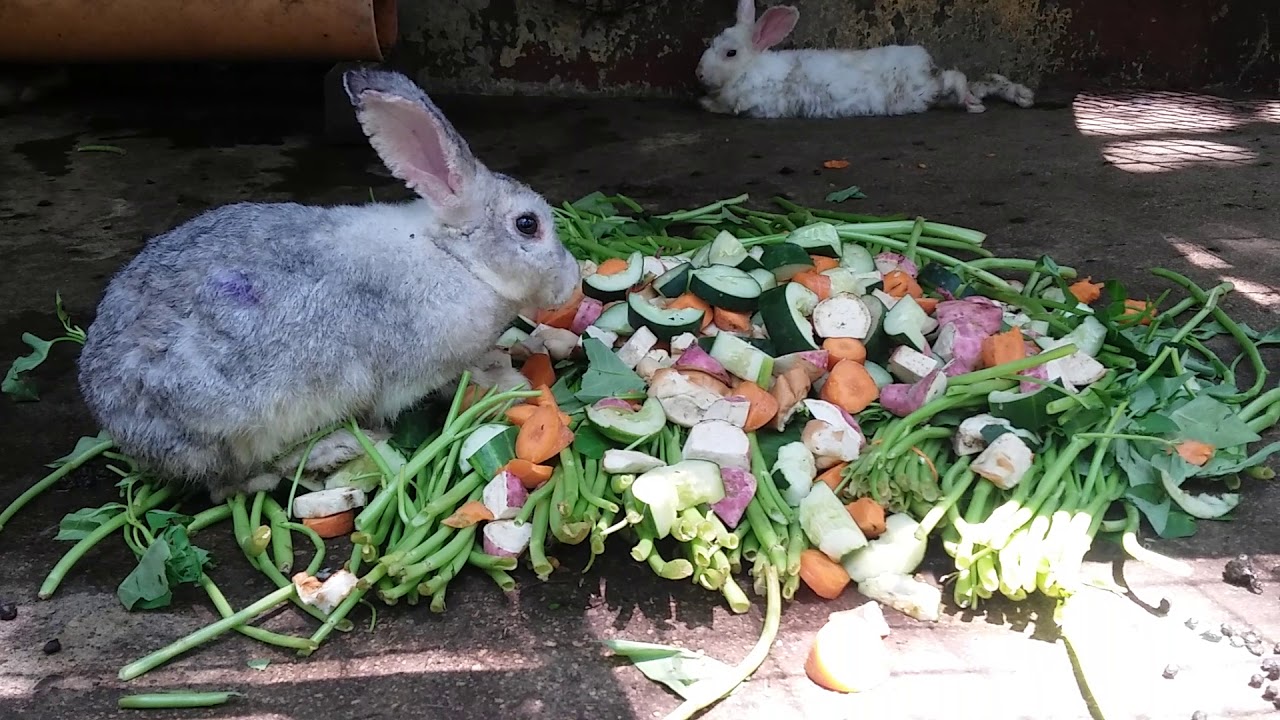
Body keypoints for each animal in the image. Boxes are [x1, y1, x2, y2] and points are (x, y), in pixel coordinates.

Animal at [76, 67, 582, 503]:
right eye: (527, 225)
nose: (573, 283)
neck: (455, 257)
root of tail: (114, 416)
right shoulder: (415, 371)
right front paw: (505, 382)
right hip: (237, 426)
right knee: (235, 481)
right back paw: (333, 449)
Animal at [695, 0, 1036, 119]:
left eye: (730, 53)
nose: (698, 74)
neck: (749, 68)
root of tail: (926, 64)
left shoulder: (752, 103)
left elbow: (725, 107)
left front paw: (704, 102)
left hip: (921, 91)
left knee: (956, 78)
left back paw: (972, 104)